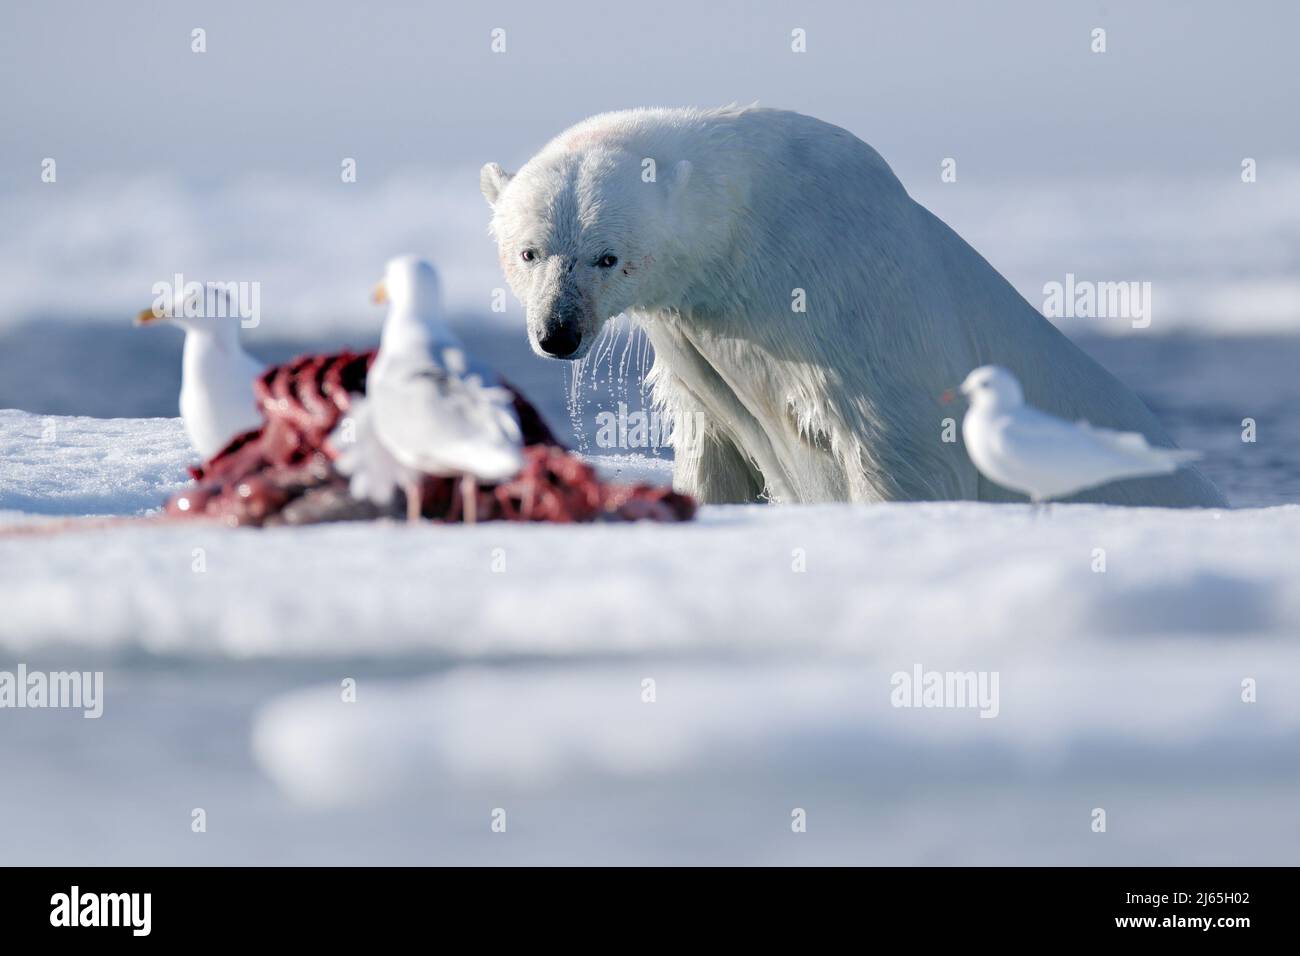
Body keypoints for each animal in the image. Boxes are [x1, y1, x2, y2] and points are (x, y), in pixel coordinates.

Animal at [480, 105, 1226, 507]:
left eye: (607, 256)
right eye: (528, 251)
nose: (558, 333)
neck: (753, 231)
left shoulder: (849, 298)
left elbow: (908, 448)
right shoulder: (700, 348)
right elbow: (711, 449)